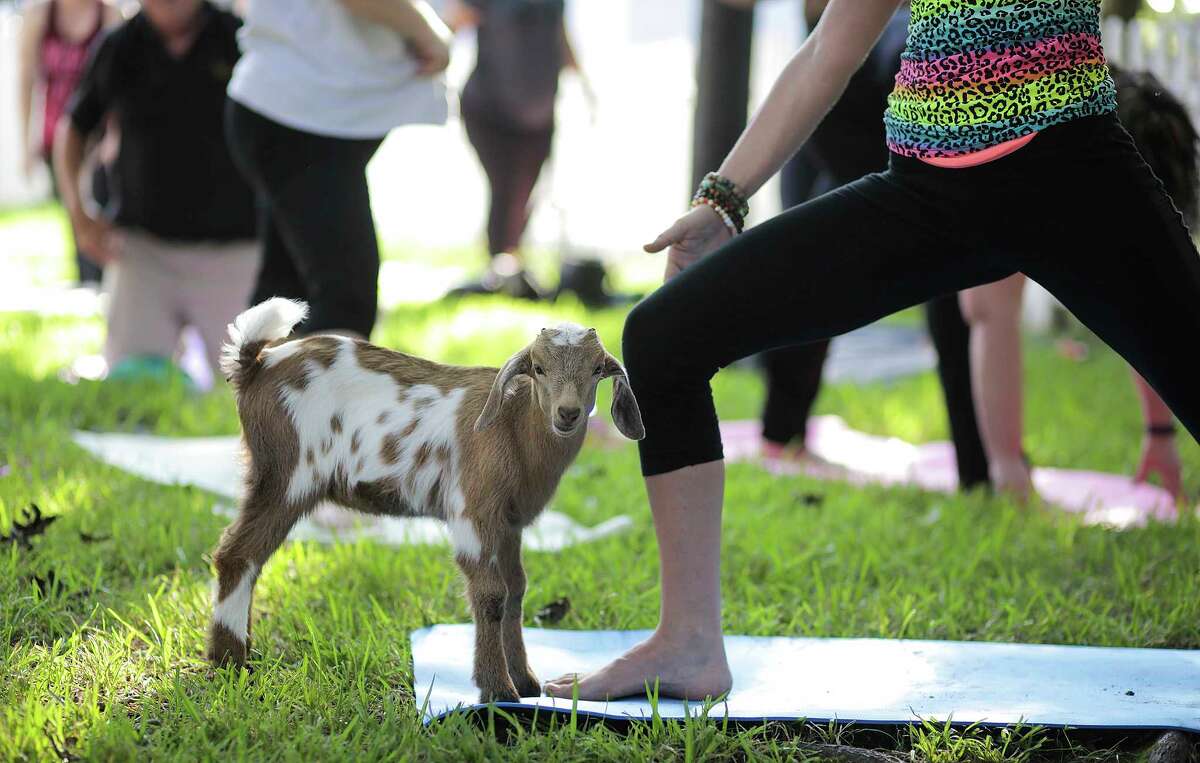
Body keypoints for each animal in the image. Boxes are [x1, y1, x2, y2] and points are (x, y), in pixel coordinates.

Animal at [206, 298, 644, 702]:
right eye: (538, 367)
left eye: (597, 369)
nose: (568, 413)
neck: (513, 426)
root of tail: (255, 363)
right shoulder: (473, 511)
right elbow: (491, 595)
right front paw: (498, 692)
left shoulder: (509, 522)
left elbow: (516, 589)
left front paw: (525, 682)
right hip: (287, 473)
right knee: (238, 554)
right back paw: (229, 660)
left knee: (250, 557)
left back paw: (244, 651)